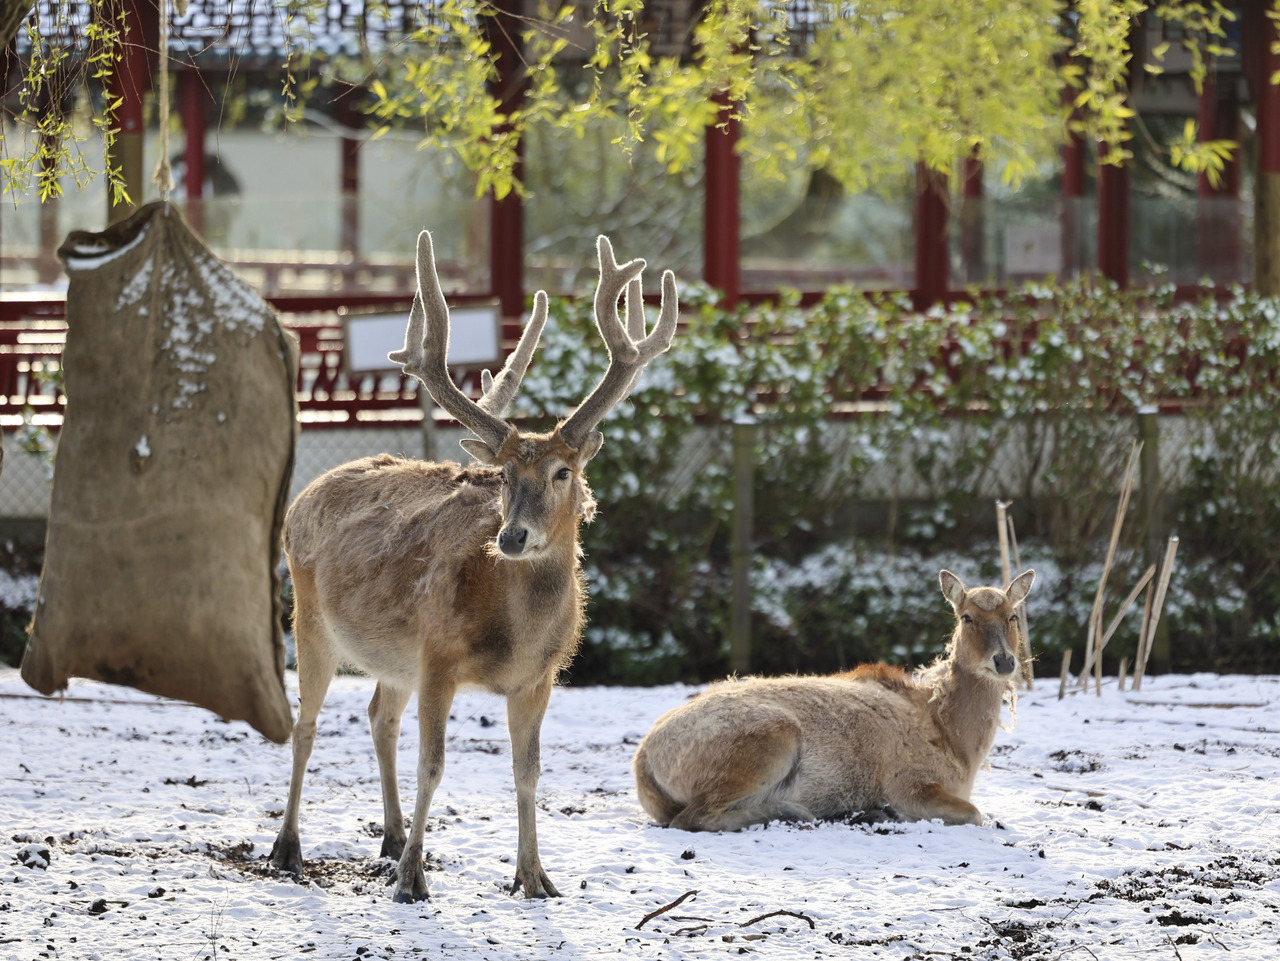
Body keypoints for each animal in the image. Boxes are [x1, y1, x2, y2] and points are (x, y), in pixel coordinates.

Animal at [269, 231, 678, 902]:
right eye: (505, 475)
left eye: (563, 472)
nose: (512, 536)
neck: (512, 635)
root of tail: (303, 495)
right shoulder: (438, 656)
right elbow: (433, 766)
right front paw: (412, 881)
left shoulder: (539, 678)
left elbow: (528, 771)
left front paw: (535, 877)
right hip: (309, 617)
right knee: (305, 727)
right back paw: (289, 849)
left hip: (394, 657)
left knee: (379, 716)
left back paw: (389, 838)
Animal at [632, 569, 1035, 831]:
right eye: (966, 617)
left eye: (1013, 616)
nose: (1004, 661)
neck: (958, 746)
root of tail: (643, 759)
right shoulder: (908, 781)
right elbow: (974, 813)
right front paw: (881, 811)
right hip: (764, 741)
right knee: (691, 817)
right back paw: (797, 812)